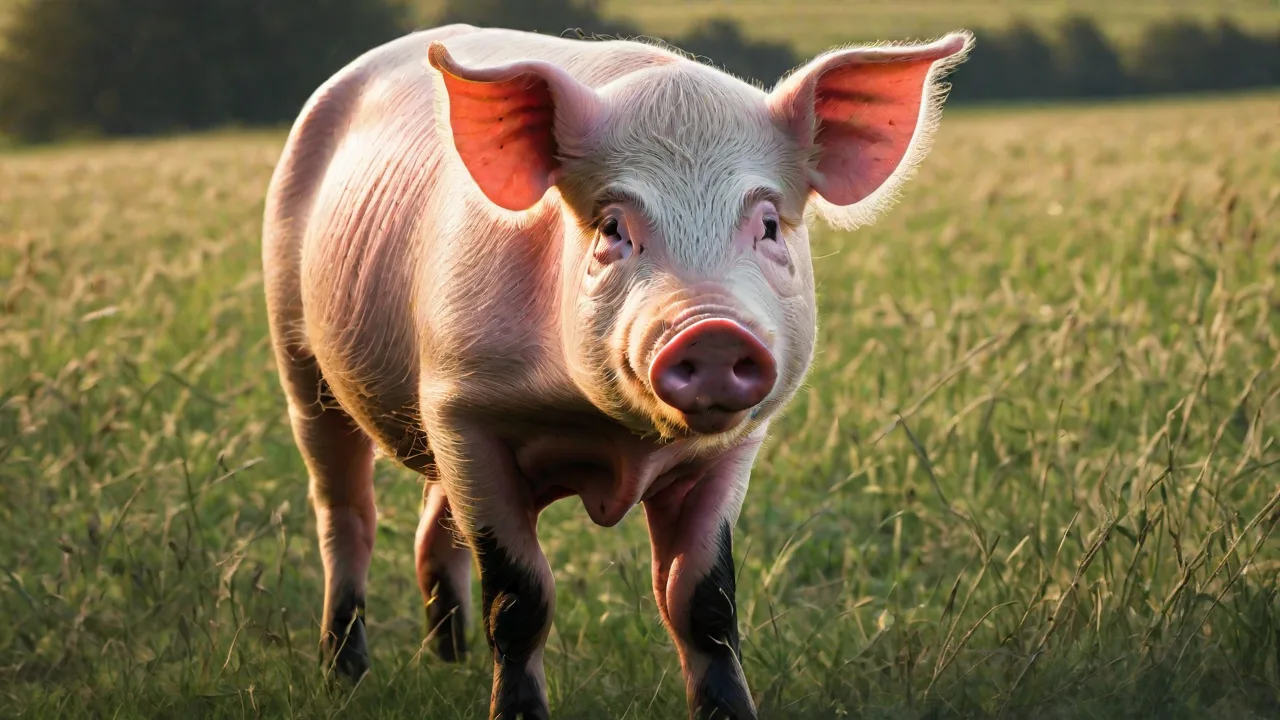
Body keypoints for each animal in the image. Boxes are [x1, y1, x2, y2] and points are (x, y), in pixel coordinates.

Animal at [262, 22, 971, 720]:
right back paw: (344, 677)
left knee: (435, 523)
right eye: (611, 229)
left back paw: (449, 662)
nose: (712, 330)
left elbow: (704, 601)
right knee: (345, 513)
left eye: (769, 225)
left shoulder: (734, 448)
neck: (616, 441)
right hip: (300, 357)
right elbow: (519, 598)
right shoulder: (465, 410)